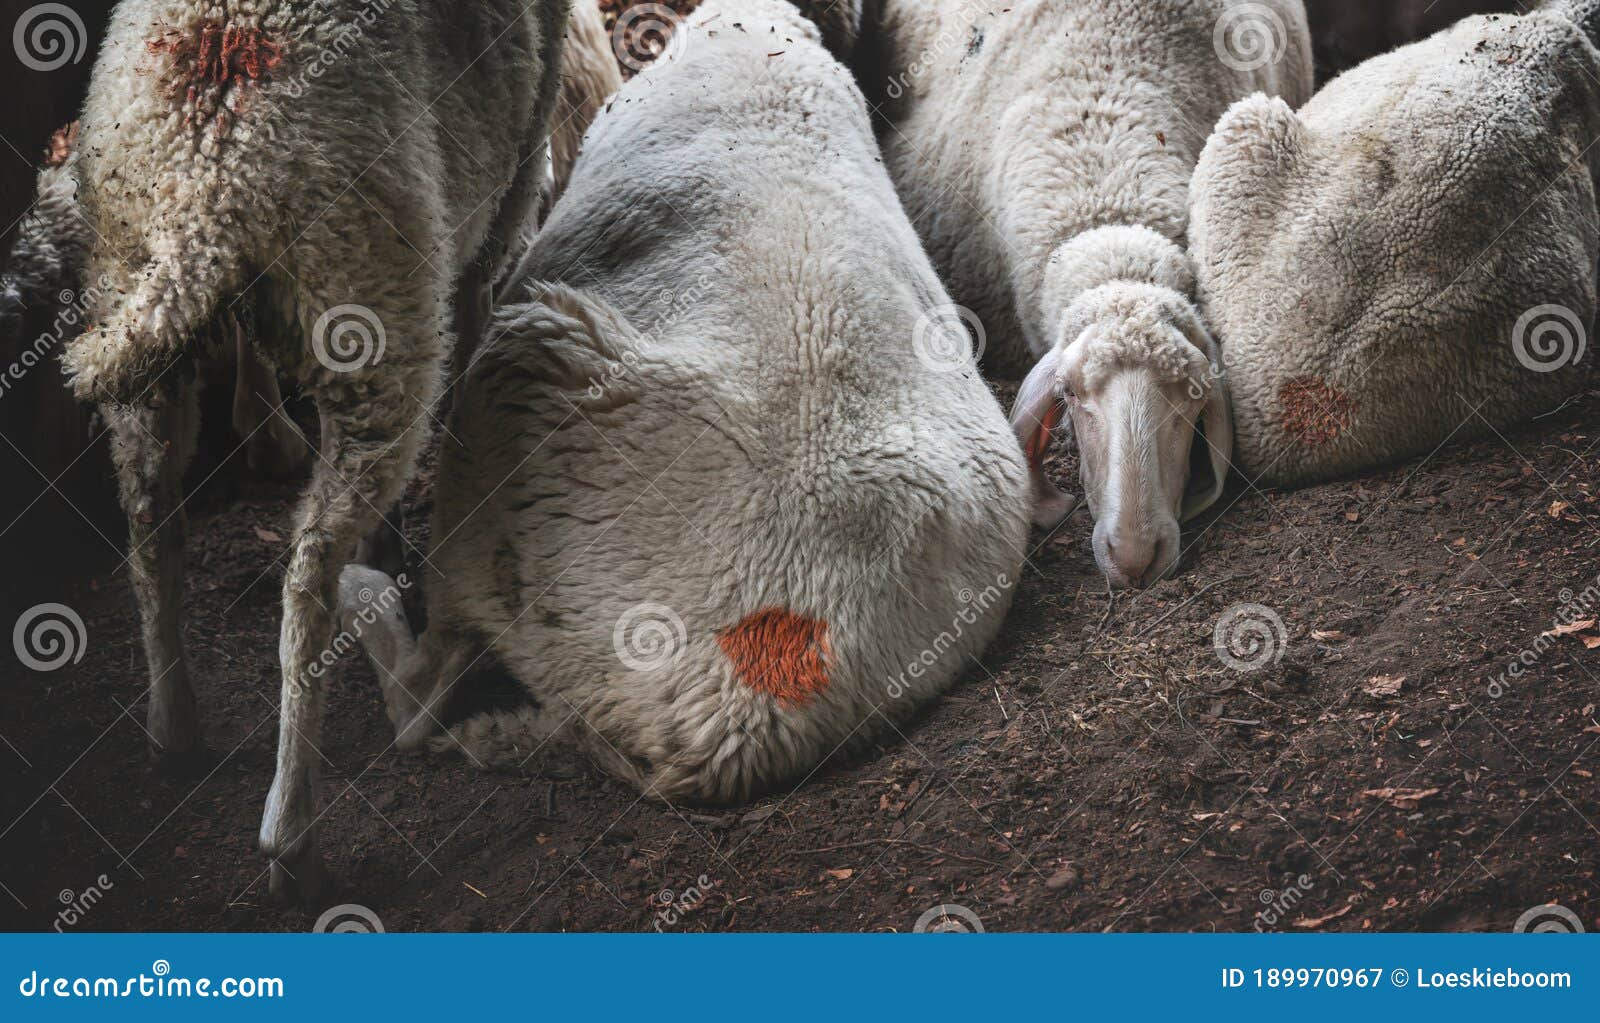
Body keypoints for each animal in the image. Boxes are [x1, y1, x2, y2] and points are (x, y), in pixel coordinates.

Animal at [55, 0, 570, 900]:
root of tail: (204, 182)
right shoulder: (502, 200)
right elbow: (473, 331)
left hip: (126, 300)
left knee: (151, 528)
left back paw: (173, 727)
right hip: (377, 316)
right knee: (307, 577)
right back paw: (292, 836)